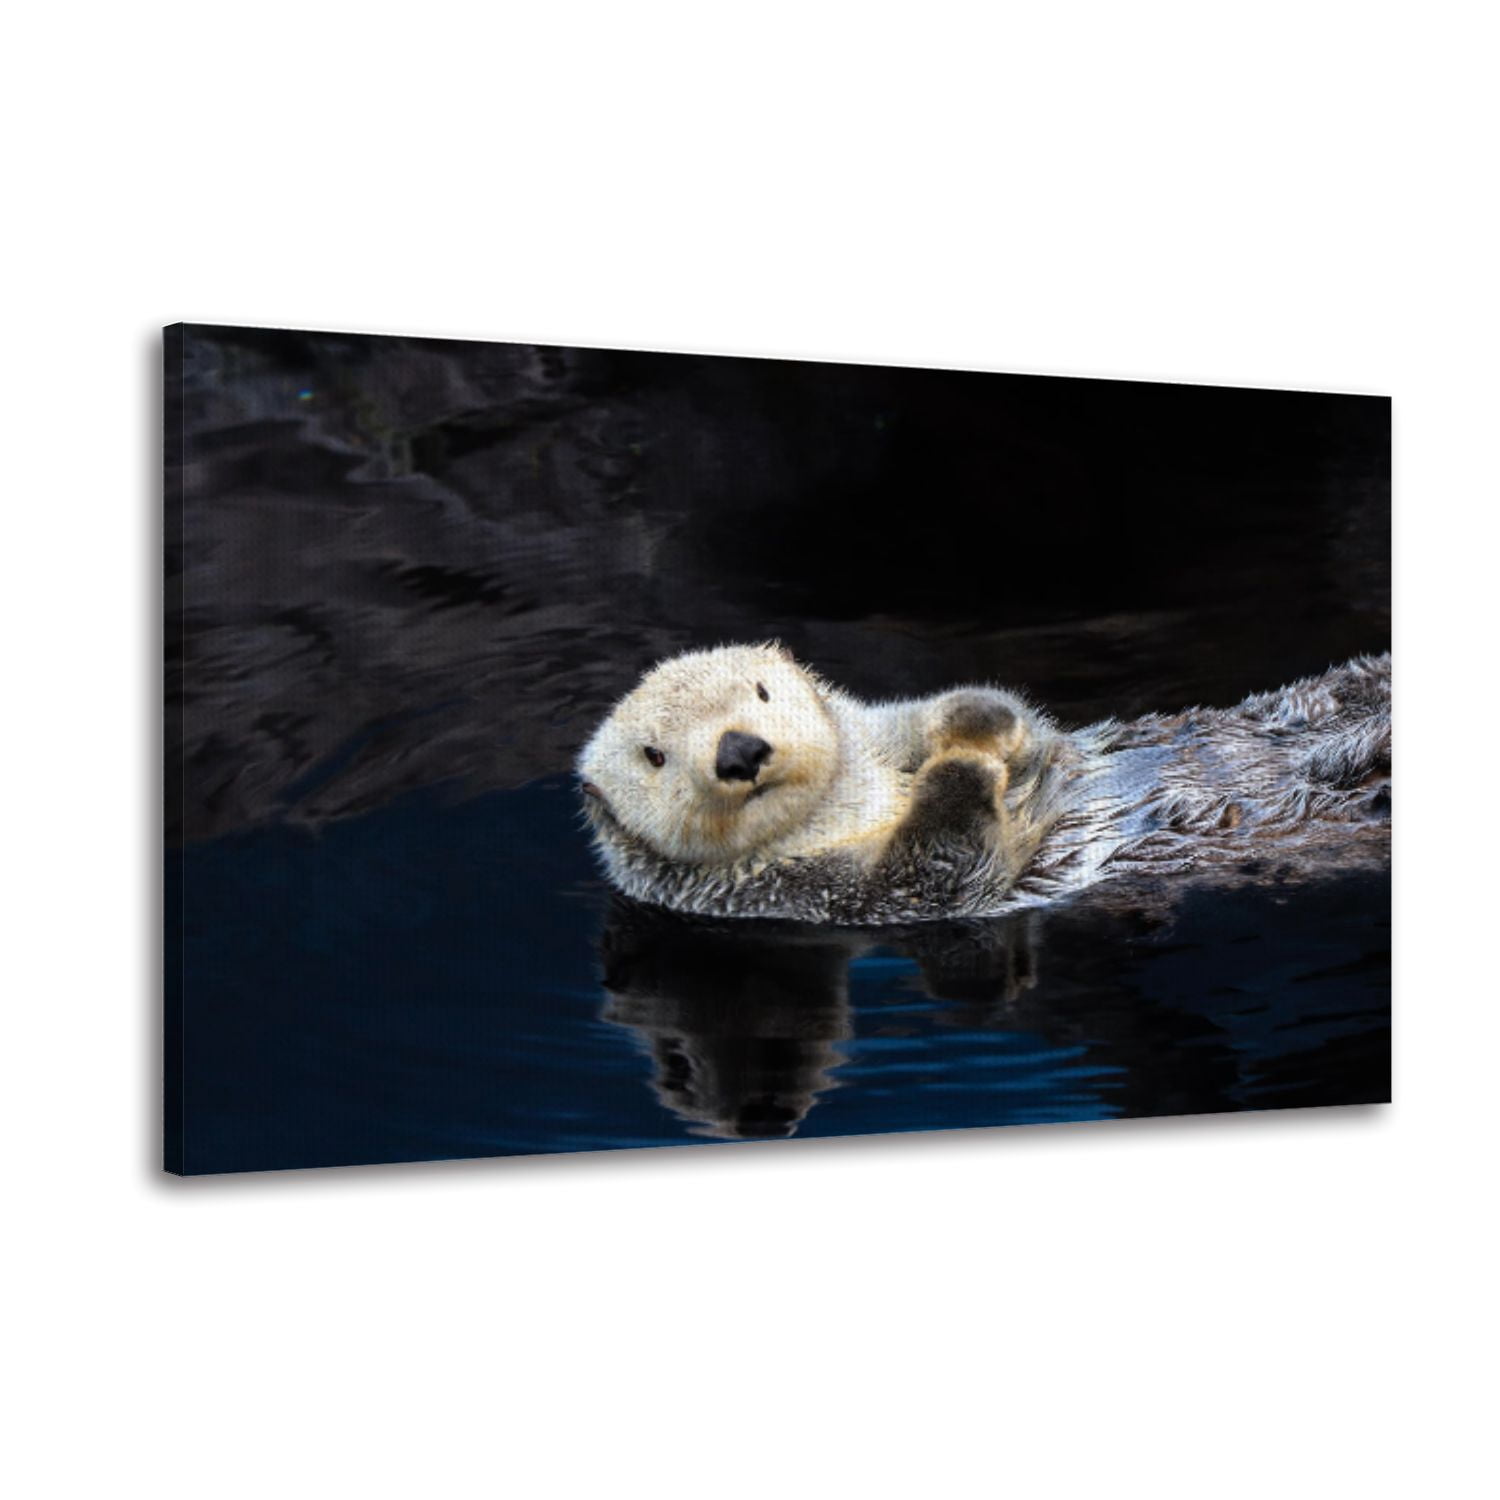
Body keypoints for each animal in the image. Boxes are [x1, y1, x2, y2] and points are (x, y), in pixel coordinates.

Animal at [577, 642, 1390, 924]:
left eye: (762, 691)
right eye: (654, 755)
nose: (739, 751)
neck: (852, 804)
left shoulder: (881, 732)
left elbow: (1001, 720)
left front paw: (972, 723)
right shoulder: (812, 894)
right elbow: (940, 868)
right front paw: (961, 768)